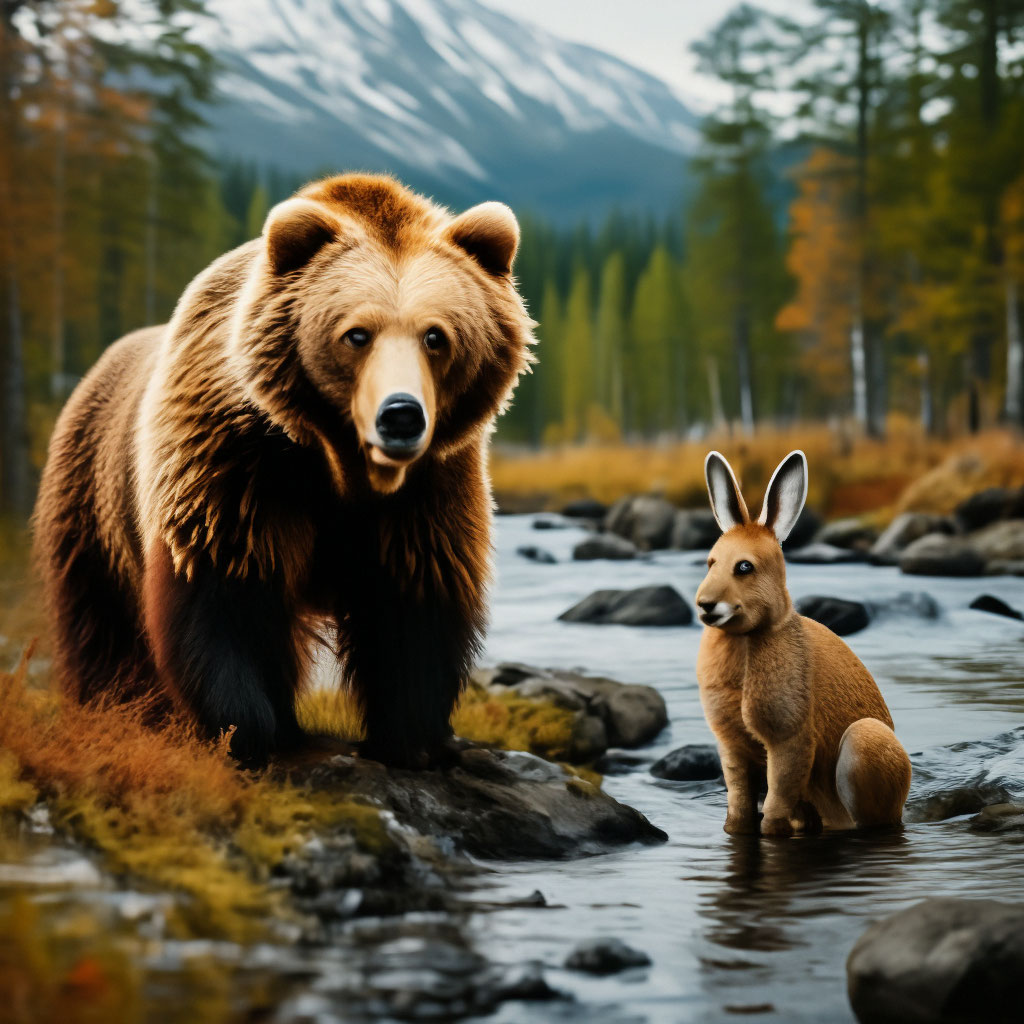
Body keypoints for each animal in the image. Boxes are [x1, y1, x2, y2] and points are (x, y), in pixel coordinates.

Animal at [33, 173, 535, 766]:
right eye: (356, 333)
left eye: (436, 335)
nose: (401, 415)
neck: (337, 461)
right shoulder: (234, 463)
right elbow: (223, 590)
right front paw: (246, 732)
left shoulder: (431, 489)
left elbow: (412, 600)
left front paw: (411, 739)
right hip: (93, 498)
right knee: (101, 623)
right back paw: (116, 707)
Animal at [695, 449, 912, 837]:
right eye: (710, 563)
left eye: (745, 567)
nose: (705, 604)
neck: (748, 640)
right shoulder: (732, 748)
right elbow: (739, 801)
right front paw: (734, 830)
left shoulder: (790, 740)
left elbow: (777, 796)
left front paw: (772, 832)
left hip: (862, 743)